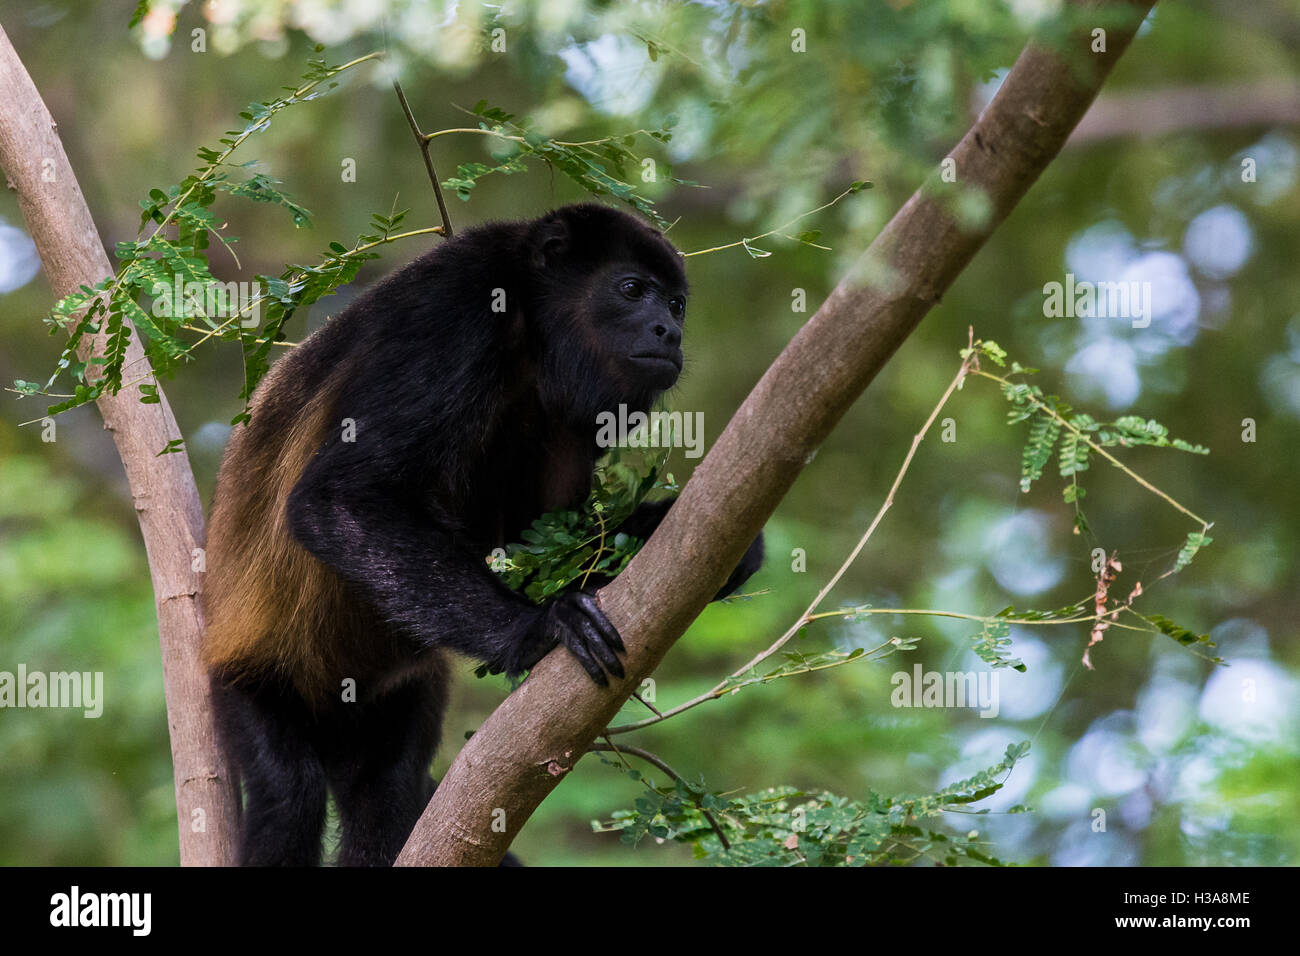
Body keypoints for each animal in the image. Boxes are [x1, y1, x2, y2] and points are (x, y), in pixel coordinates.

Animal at [201, 203, 764, 866]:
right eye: (632, 290)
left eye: (676, 305)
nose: (670, 333)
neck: (533, 327)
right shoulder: (456, 309)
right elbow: (339, 496)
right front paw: (539, 628)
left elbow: (531, 540)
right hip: (248, 685)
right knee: (288, 792)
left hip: (399, 696)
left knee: (384, 788)